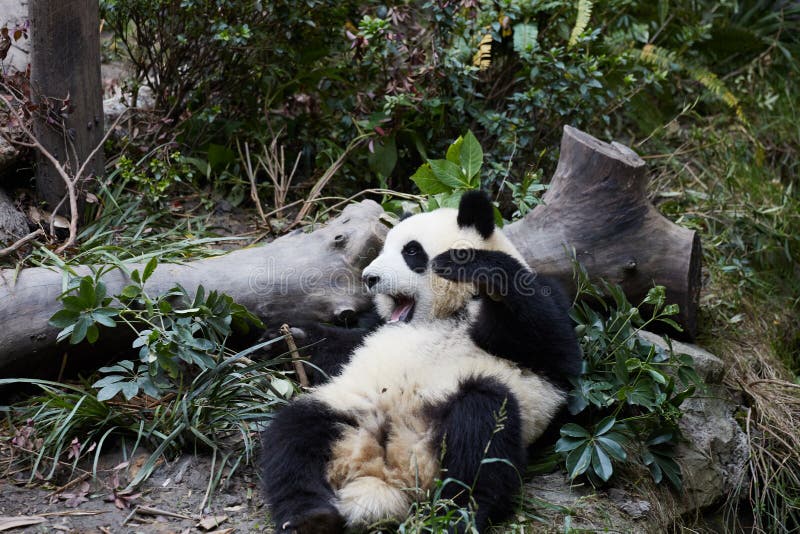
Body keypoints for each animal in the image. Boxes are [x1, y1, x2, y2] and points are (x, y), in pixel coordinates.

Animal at [260, 191, 582, 533]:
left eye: (411, 251)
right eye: (383, 249)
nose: (369, 278)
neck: (443, 313)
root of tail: (390, 471)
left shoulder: (542, 321)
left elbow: (552, 344)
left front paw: (469, 264)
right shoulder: (376, 326)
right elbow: (344, 347)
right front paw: (284, 339)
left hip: (453, 417)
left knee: (483, 428)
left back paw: (459, 514)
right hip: (349, 411)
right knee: (293, 437)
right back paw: (309, 518)